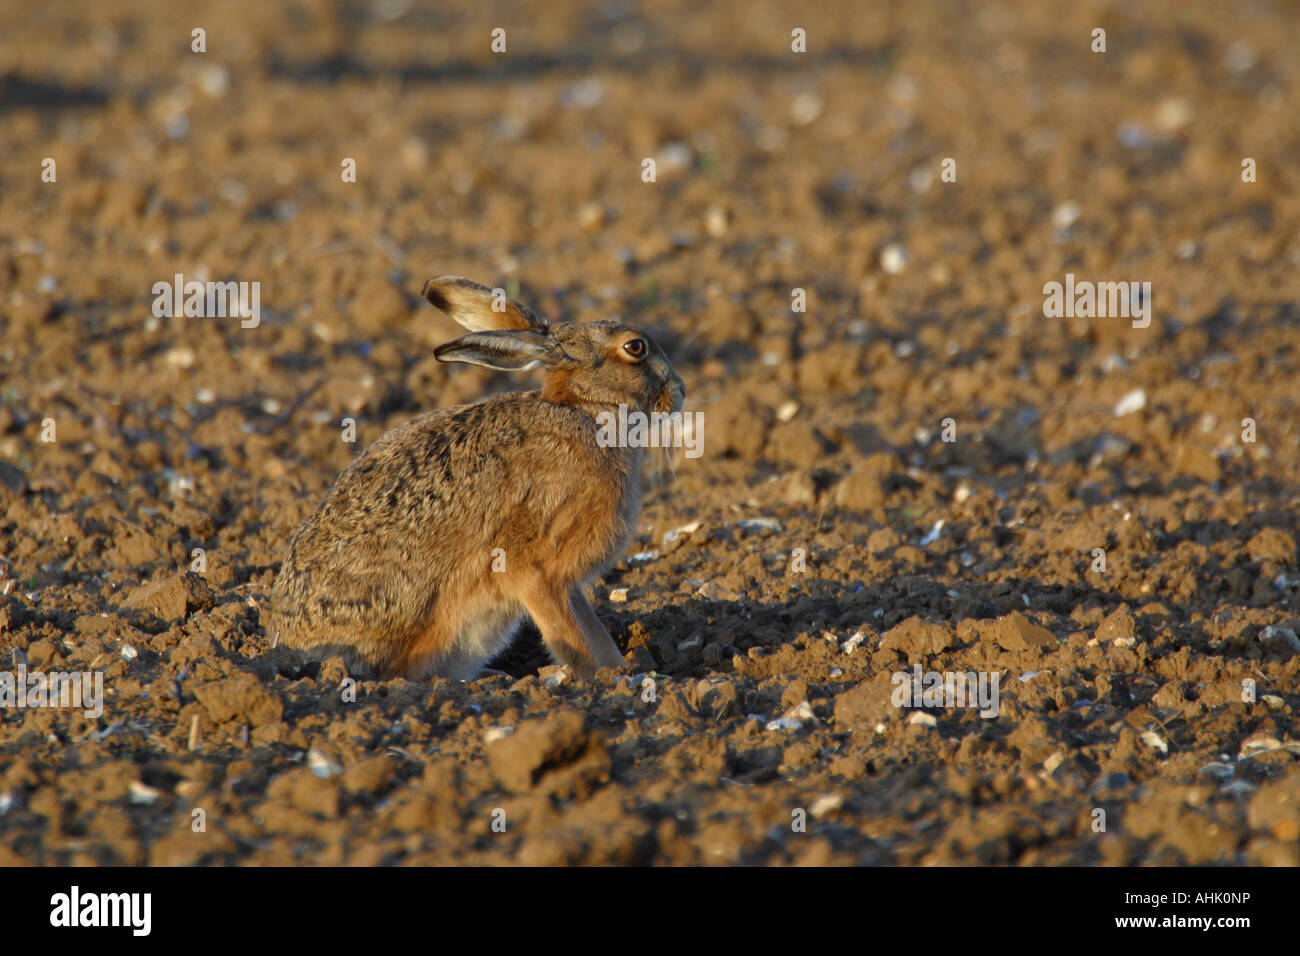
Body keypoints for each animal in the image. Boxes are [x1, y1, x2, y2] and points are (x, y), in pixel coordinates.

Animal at [267, 276, 685, 682]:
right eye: (635, 347)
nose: (679, 393)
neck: (585, 409)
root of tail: (289, 649)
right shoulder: (535, 570)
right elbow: (569, 636)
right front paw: (603, 679)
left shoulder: (565, 583)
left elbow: (592, 630)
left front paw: (621, 669)